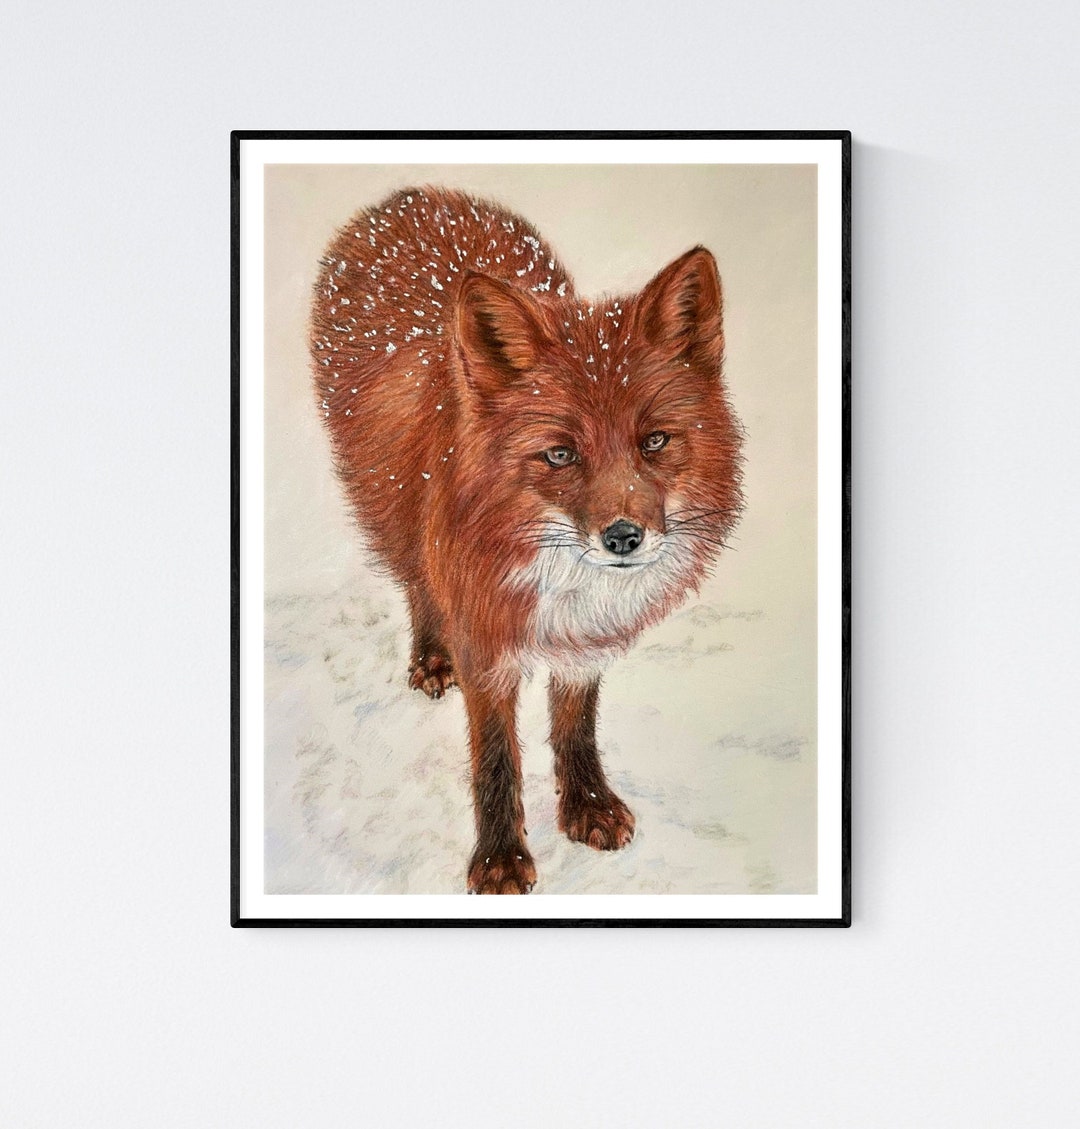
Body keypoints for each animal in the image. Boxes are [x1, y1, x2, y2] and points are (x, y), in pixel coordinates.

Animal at [311, 186, 743, 894]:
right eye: (560, 453)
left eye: (654, 440)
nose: (624, 537)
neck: (558, 573)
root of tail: (414, 195)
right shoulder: (485, 633)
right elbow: (494, 757)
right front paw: (500, 859)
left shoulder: (583, 637)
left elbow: (575, 725)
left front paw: (587, 806)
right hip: (388, 506)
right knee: (417, 580)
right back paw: (431, 659)